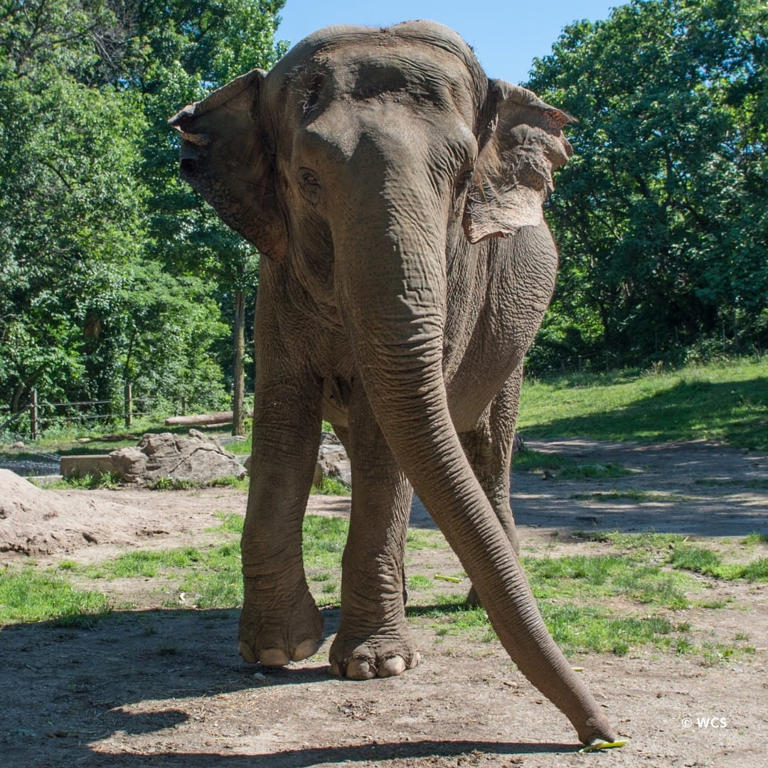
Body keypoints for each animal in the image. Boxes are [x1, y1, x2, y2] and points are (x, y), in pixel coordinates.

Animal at [170, 21, 618, 746]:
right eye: (304, 179)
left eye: (461, 178)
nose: (600, 732)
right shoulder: (276, 276)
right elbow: (282, 429)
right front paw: (276, 650)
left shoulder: (461, 278)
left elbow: (389, 440)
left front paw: (376, 667)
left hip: (513, 342)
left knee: (486, 448)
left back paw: (471, 600)